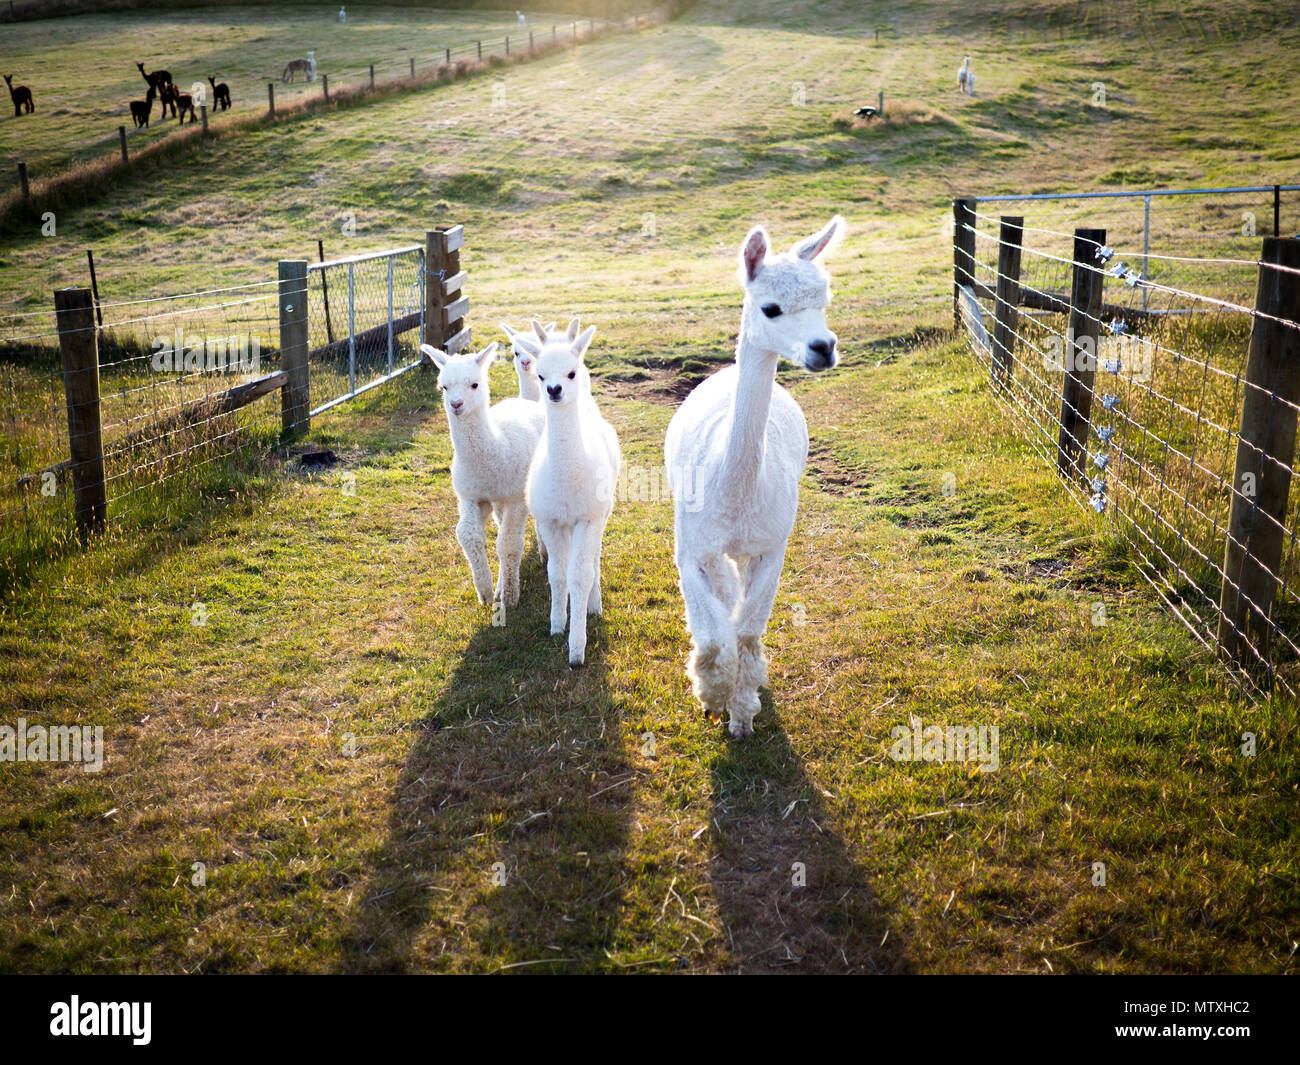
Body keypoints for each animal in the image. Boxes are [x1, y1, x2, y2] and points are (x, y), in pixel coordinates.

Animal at [420, 341, 545, 609]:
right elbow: (467, 535)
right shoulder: (470, 495)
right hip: (497, 501)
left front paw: (510, 596)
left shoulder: (516, 497)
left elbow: (509, 543)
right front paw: (486, 591)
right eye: (444, 386)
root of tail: (525, 402)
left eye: (474, 384)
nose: (456, 404)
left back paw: (544, 552)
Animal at [511, 319, 621, 667]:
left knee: (593, 560)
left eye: (571, 372)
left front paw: (577, 648)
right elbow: (557, 575)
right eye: (541, 375)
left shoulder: (588, 518)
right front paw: (557, 624)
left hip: (601, 514)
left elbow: (579, 576)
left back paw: (594, 605)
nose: (554, 390)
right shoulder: (550, 519)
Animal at [664, 216, 845, 737]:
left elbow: (745, 631)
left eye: (823, 301)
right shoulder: (690, 548)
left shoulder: (772, 545)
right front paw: (712, 694)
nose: (823, 348)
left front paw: (742, 709)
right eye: (771, 307)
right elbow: (712, 637)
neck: (736, 491)